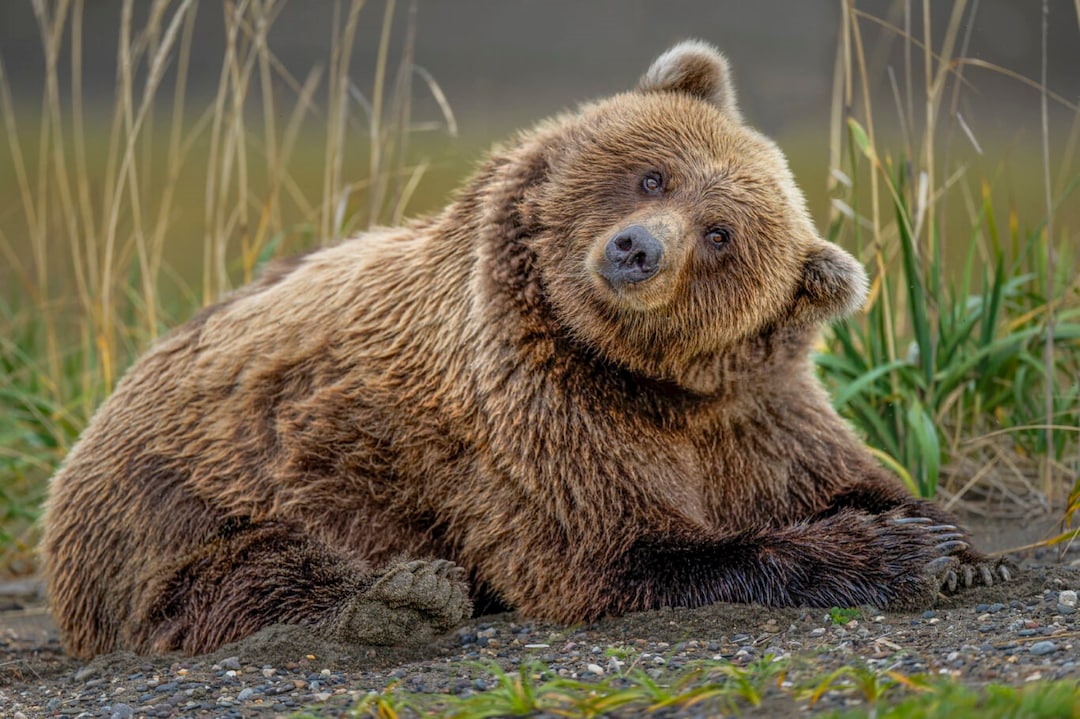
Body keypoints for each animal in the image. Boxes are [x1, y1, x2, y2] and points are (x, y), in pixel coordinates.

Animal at [41, 40, 1009, 659]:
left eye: (720, 234)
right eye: (654, 174)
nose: (635, 249)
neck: (641, 379)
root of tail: (104, 402)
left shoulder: (751, 412)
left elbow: (831, 466)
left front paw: (959, 546)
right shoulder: (527, 410)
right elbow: (609, 551)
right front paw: (896, 554)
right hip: (182, 495)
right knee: (249, 576)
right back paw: (401, 602)